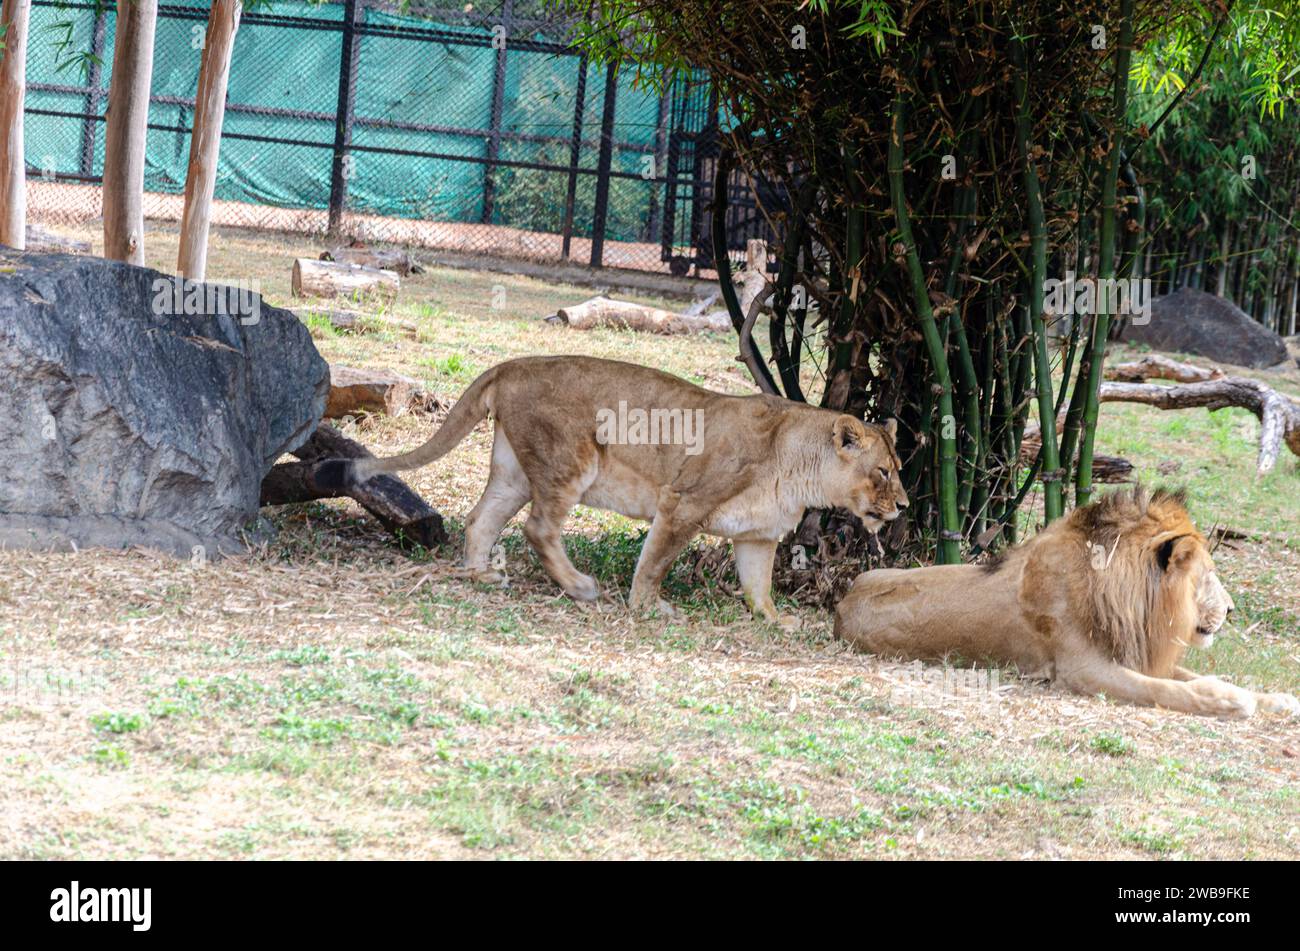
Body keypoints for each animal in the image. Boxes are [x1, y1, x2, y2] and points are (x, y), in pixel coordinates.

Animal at [315, 355, 908, 621]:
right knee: (539, 527)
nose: (902, 504)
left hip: (513, 472)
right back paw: (579, 586)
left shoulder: (757, 537)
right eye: (882, 471)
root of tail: (514, 363)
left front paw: (775, 621)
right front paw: (649, 609)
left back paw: (482, 575)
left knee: (481, 518)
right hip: (569, 462)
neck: (798, 462)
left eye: (898, 466)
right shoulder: (683, 502)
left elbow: (757, 585)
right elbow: (655, 561)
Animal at [834, 487, 1299, 718]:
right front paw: (1228, 702)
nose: (1232, 610)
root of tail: (842, 604)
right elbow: (1164, 690)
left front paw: (1275, 699)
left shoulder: (1134, 651)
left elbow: (1185, 678)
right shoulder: (1082, 669)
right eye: (1209, 574)